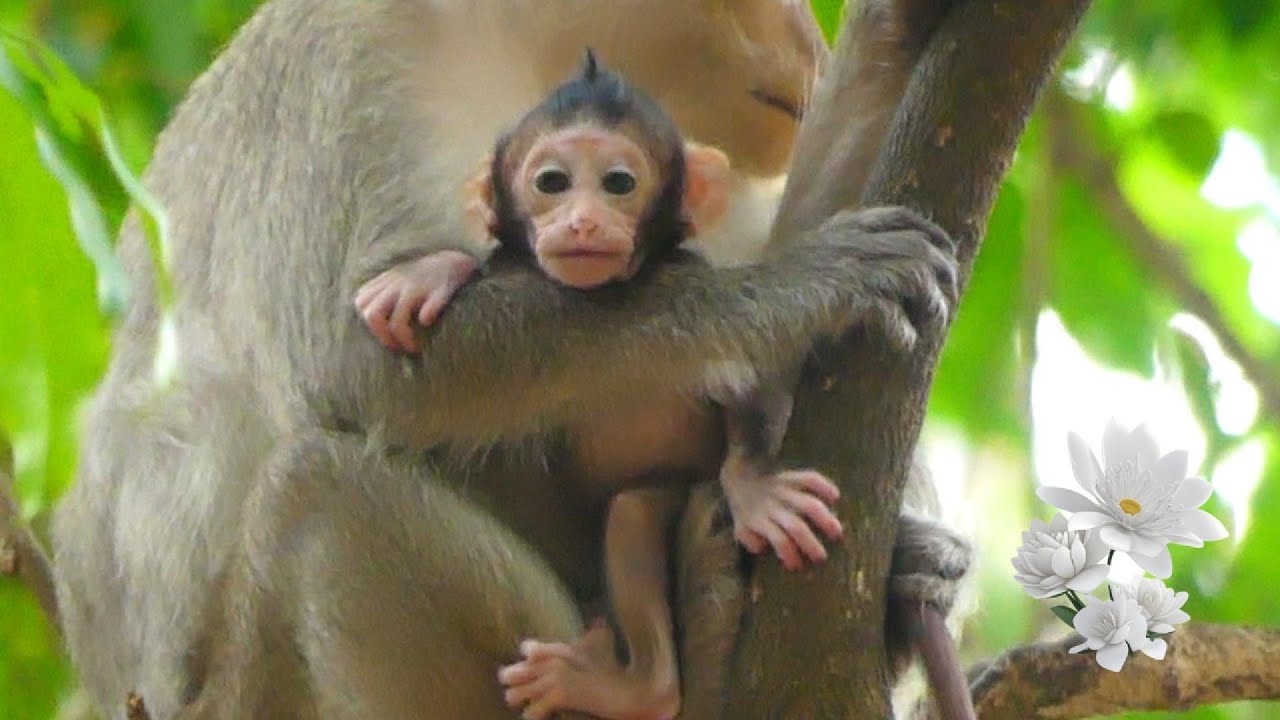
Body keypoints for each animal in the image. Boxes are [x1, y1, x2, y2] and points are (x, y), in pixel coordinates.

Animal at [49, 2, 971, 719]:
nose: (811, 45)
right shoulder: (344, 71)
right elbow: (359, 367)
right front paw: (805, 281)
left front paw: (895, 32)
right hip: (267, 695)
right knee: (312, 494)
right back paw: (683, 674)